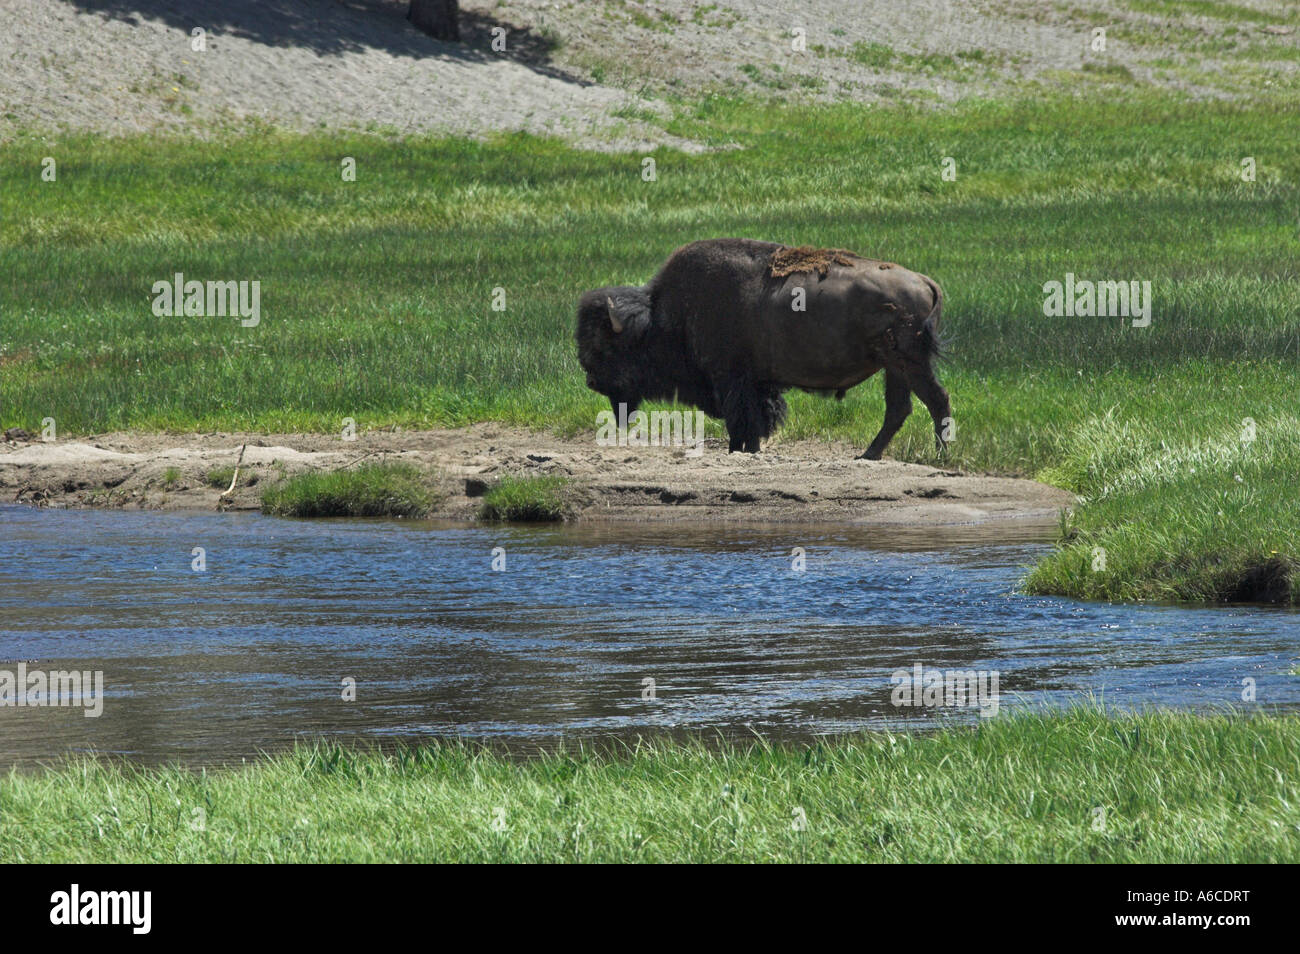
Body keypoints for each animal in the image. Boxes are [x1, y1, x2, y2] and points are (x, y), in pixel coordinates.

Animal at [576, 238, 951, 459]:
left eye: (606, 346)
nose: (591, 381)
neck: (664, 316)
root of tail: (925, 281)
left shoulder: (731, 379)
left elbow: (742, 420)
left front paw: (741, 452)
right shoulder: (752, 384)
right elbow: (751, 419)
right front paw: (745, 450)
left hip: (908, 363)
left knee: (936, 400)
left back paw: (939, 454)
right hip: (894, 367)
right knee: (899, 409)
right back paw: (868, 456)